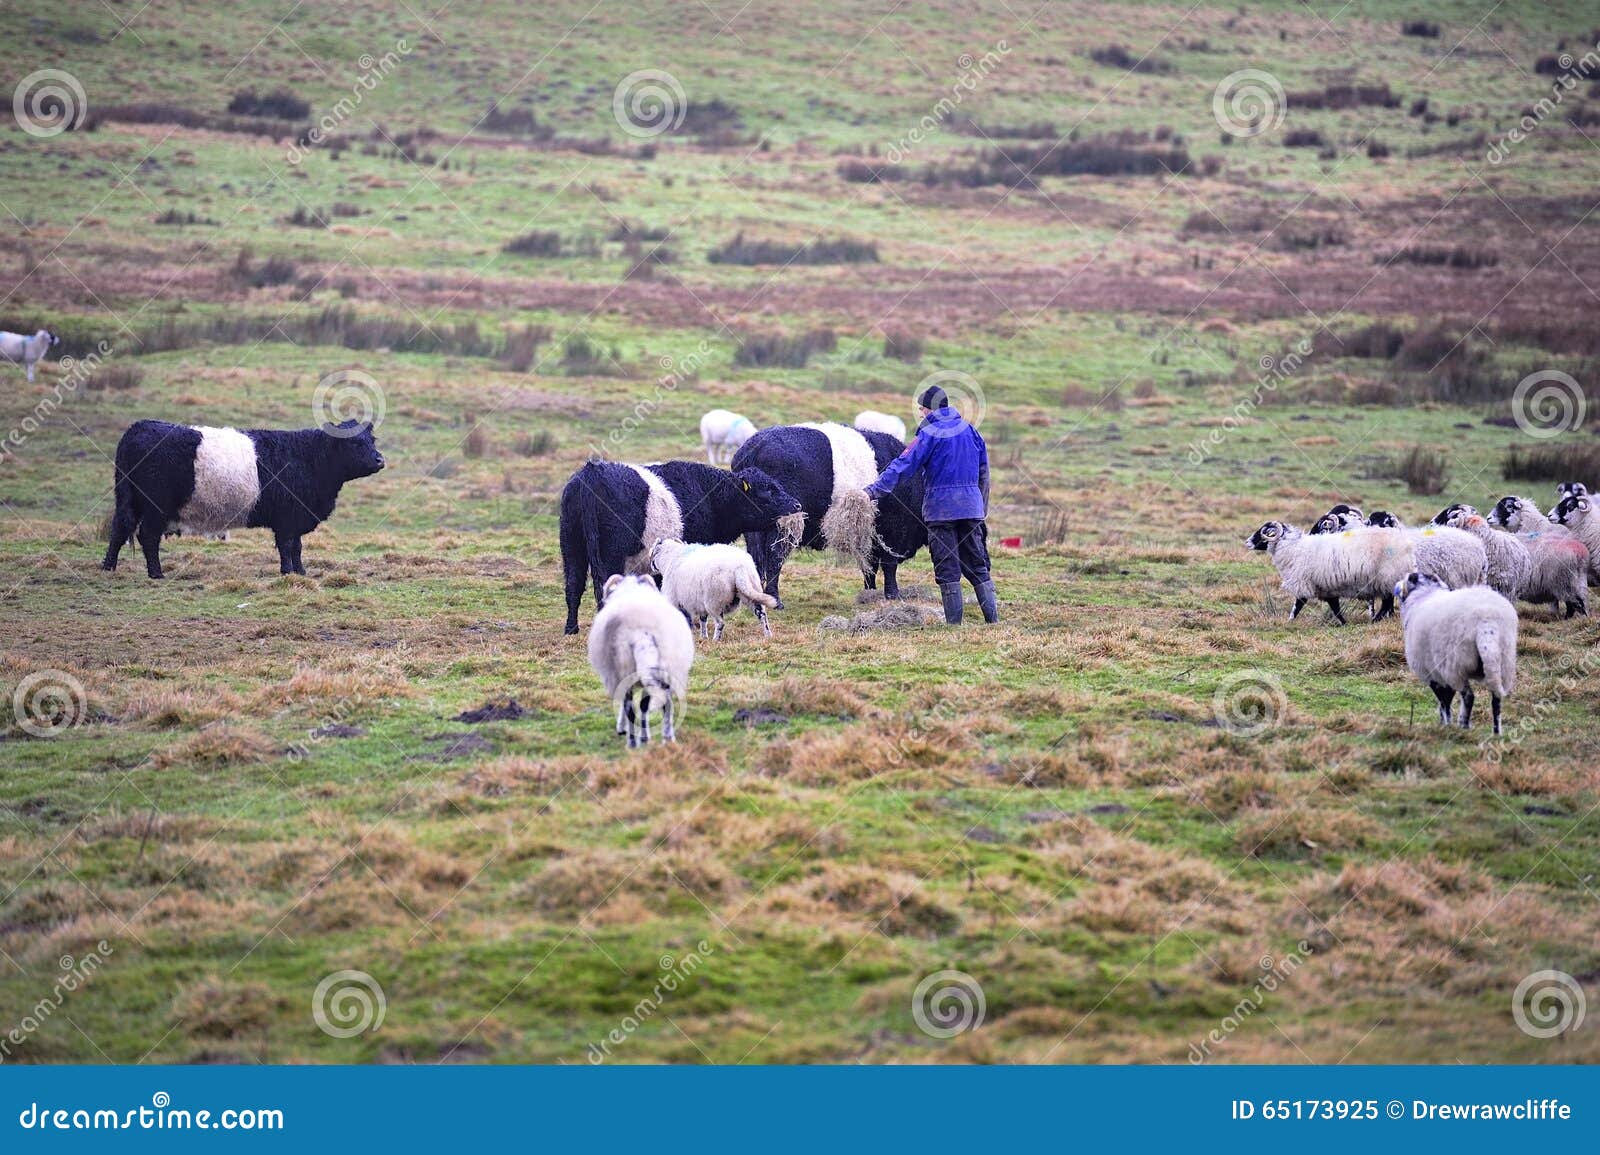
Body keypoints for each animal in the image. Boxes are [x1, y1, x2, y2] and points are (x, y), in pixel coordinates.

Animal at [101, 419, 384, 579]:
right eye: (354, 443)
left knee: (120, 527)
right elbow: (288, 546)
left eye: (371, 440)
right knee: (147, 536)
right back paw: (156, 573)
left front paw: (302, 572)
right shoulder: (288, 519)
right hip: (155, 505)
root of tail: (138, 427)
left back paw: (108, 567)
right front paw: (289, 573)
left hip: (129, 499)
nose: (380, 459)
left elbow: (298, 547)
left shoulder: (295, 518)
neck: (308, 457)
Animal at [559, 458, 803, 633]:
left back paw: (571, 628)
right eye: (768, 490)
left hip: (571, 546)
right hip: (610, 555)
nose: (797, 504)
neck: (711, 497)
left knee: (573, 585)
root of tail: (592, 471)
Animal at [588, 573, 695, 747]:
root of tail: (642, 633)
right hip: (664, 667)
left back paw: (632, 742)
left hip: (625, 667)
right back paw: (666, 737)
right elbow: (645, 706)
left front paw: (622, 727)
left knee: (630, 708)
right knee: (664, 705)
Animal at [1245, 520, 1413, 624]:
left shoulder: (1304, 582)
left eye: (1264, 532)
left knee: (1386, 603)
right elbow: (1335, 607)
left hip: (1387, 577)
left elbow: (1298, 605)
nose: (1246, 542)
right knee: (1387, 603)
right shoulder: (1327, 588)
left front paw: (1289, 621)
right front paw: (1344, 623)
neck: (1293, 548)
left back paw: (1375, 620)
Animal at [1395, 571, 1517, 734]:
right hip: (1504, 662)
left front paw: (1445, 724)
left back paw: (1463, 725)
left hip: (1455, 664)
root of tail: (1487, 622)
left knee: (1468, 696)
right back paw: (1496, 733)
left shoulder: (1433, 672)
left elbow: (1444, 701)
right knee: (1496, 700)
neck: (1424, 594)